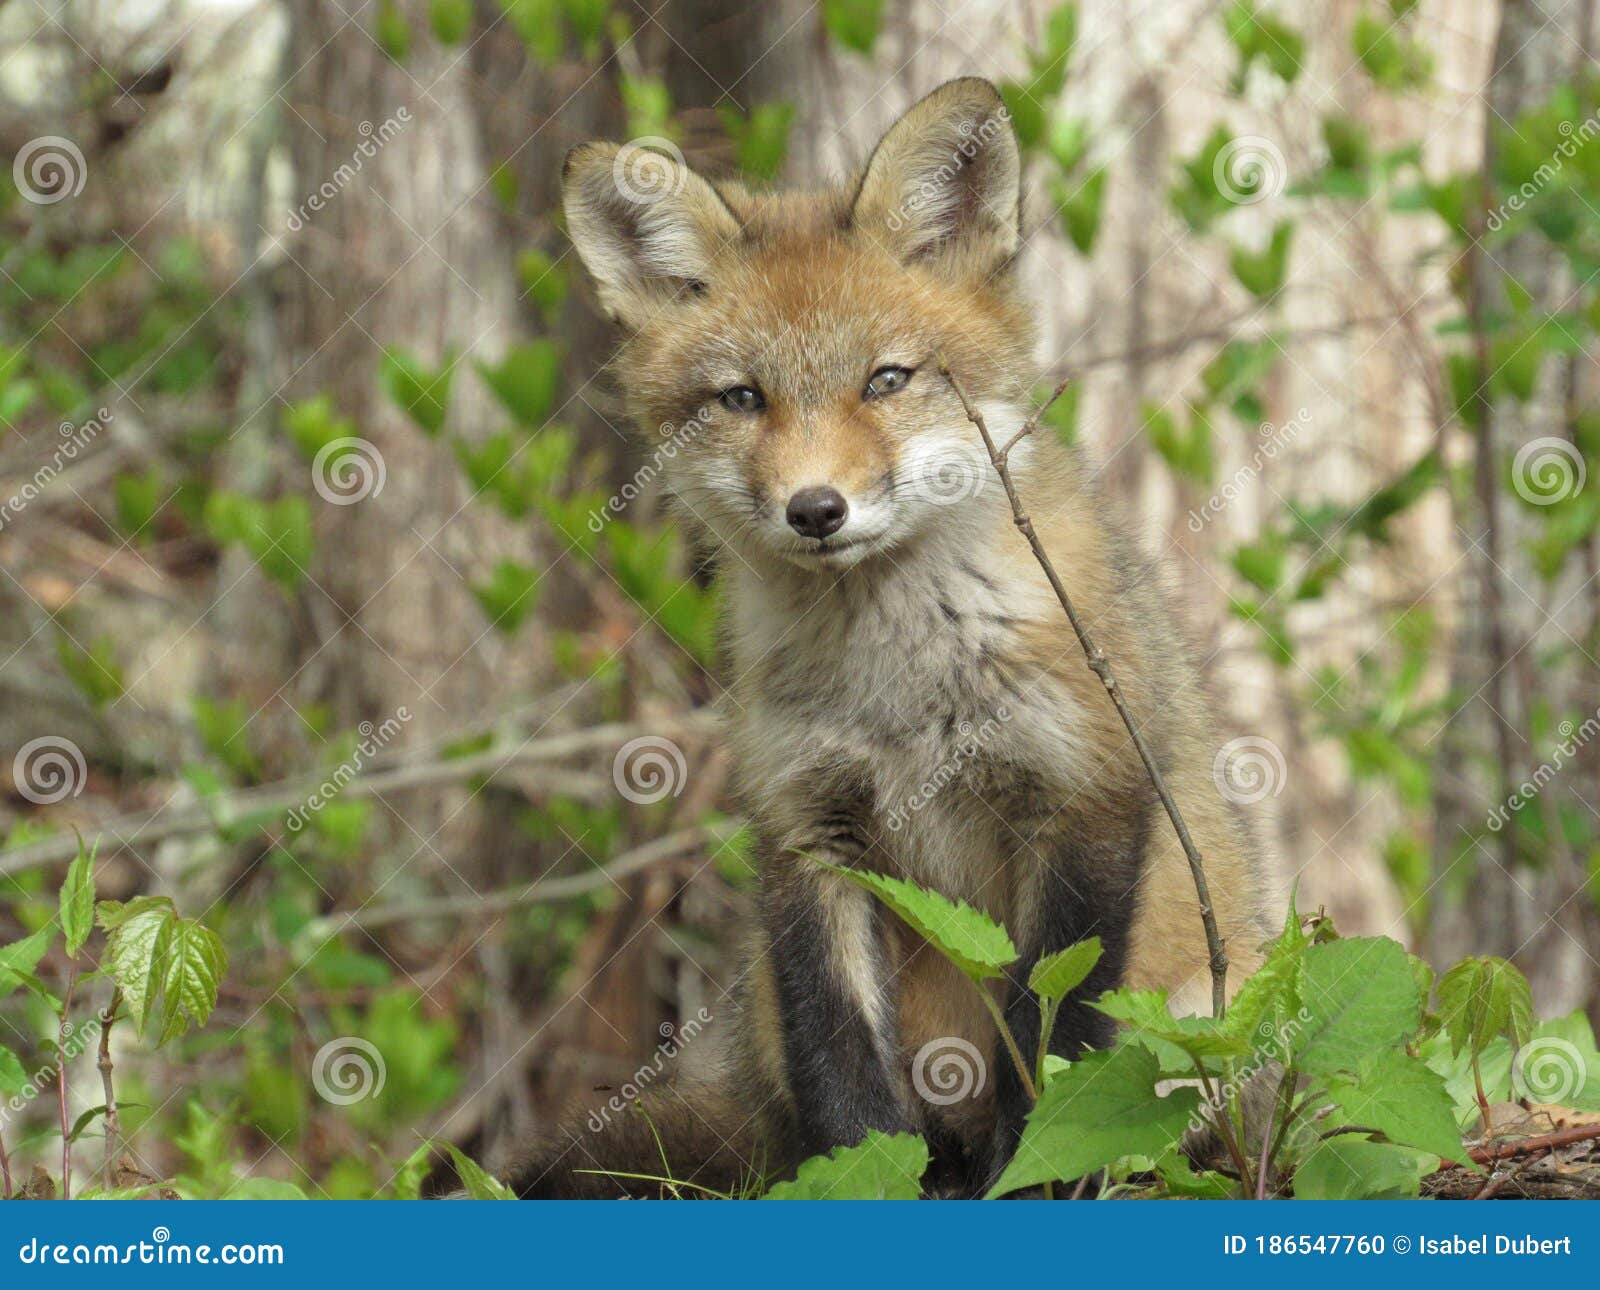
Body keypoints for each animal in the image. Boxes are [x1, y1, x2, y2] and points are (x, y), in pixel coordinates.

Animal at [508, 78, 1269, 1199]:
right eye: (742, 398)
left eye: (886, 380)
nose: (815, 510)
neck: (899, 687)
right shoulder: (808, 831)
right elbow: (843, 1073)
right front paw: (867, 1174)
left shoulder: (1084, 799)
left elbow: (1052, 1058)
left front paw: (1032, 1181)